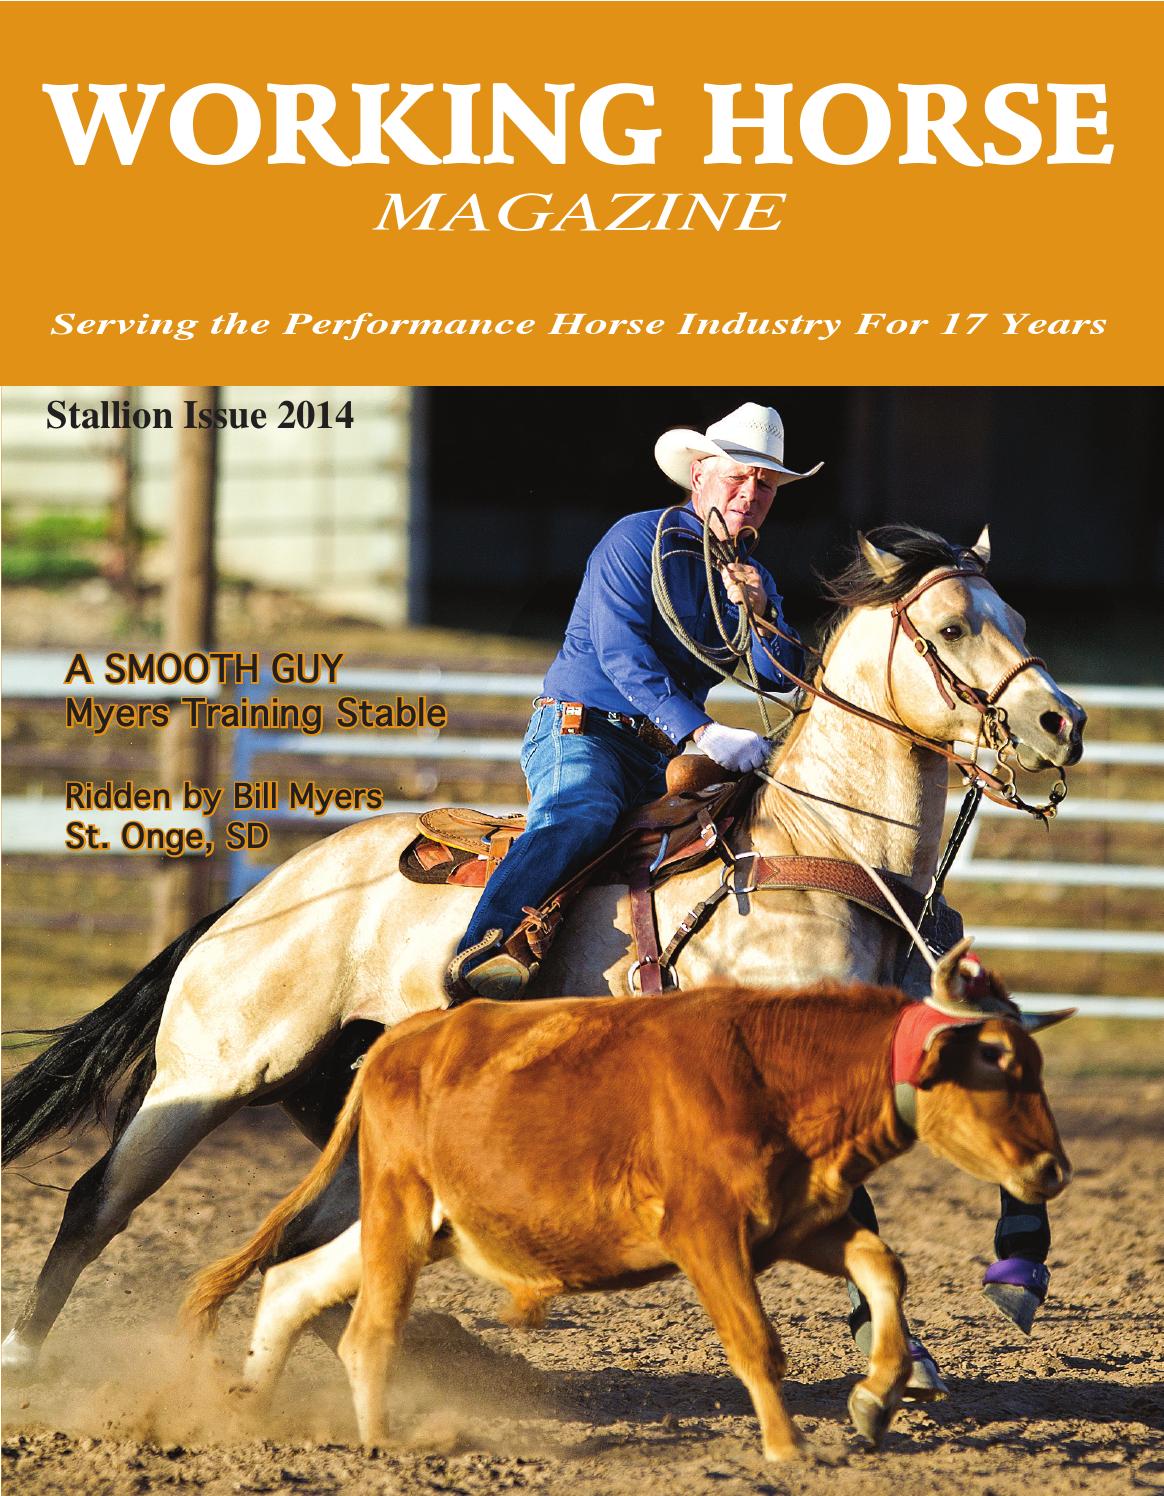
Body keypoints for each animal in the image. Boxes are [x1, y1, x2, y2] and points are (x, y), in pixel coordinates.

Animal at [1, 525, 1085, 1379]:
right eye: (953, 627)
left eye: (1021, 619)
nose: (1061, 721)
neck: (822, 846)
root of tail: (257, 900)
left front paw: (1011, 1280)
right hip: (216, 1071)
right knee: (97, 1201)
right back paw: (28, 1358)